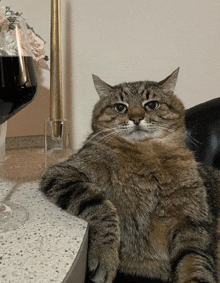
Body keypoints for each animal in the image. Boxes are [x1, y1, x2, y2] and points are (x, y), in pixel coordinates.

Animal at [40, 69, 220, 283]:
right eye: (120, 107)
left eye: (151, 104)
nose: (136, 118)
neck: (145, 154)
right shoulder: (63, 173)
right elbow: (102, 208)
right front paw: (105, 256)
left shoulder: (192, 222)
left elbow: (194, 263)